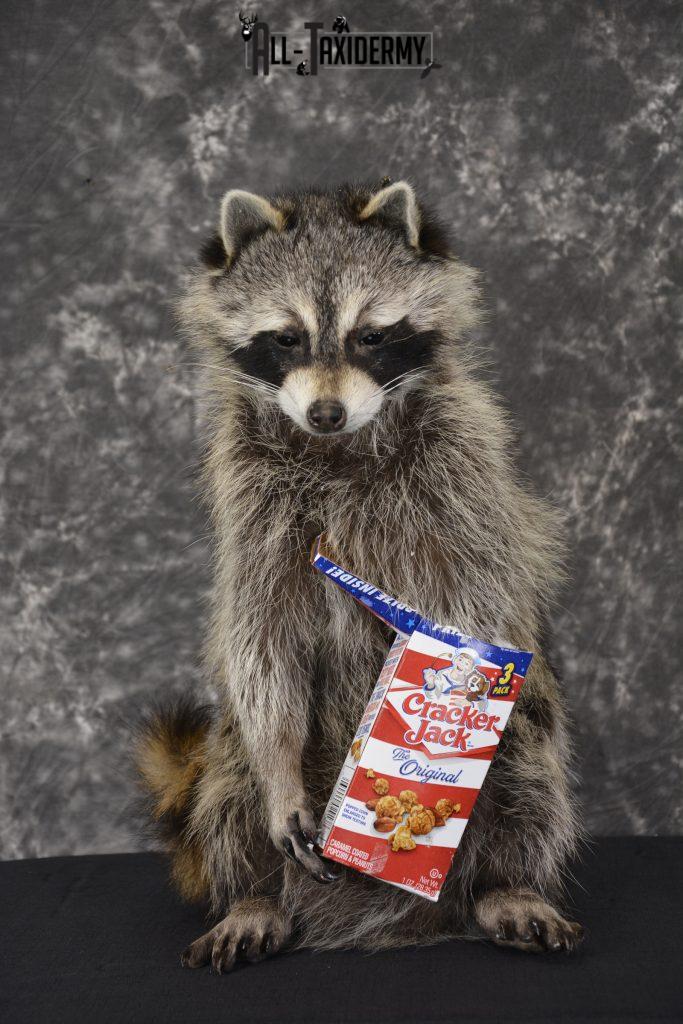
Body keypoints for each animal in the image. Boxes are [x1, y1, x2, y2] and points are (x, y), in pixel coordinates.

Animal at [135, 180, 584, 971]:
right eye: (286, 337)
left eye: (369, 336)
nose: (324, 412)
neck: (340, 446)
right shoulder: (253, 511)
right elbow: (261, 643)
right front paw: (278, 771)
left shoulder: (461, 480)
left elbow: (478, 598)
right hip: (226, 762)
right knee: (229, 782)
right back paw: (252, 894)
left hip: (524, 744)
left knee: (529, 758)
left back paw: (508, 883)